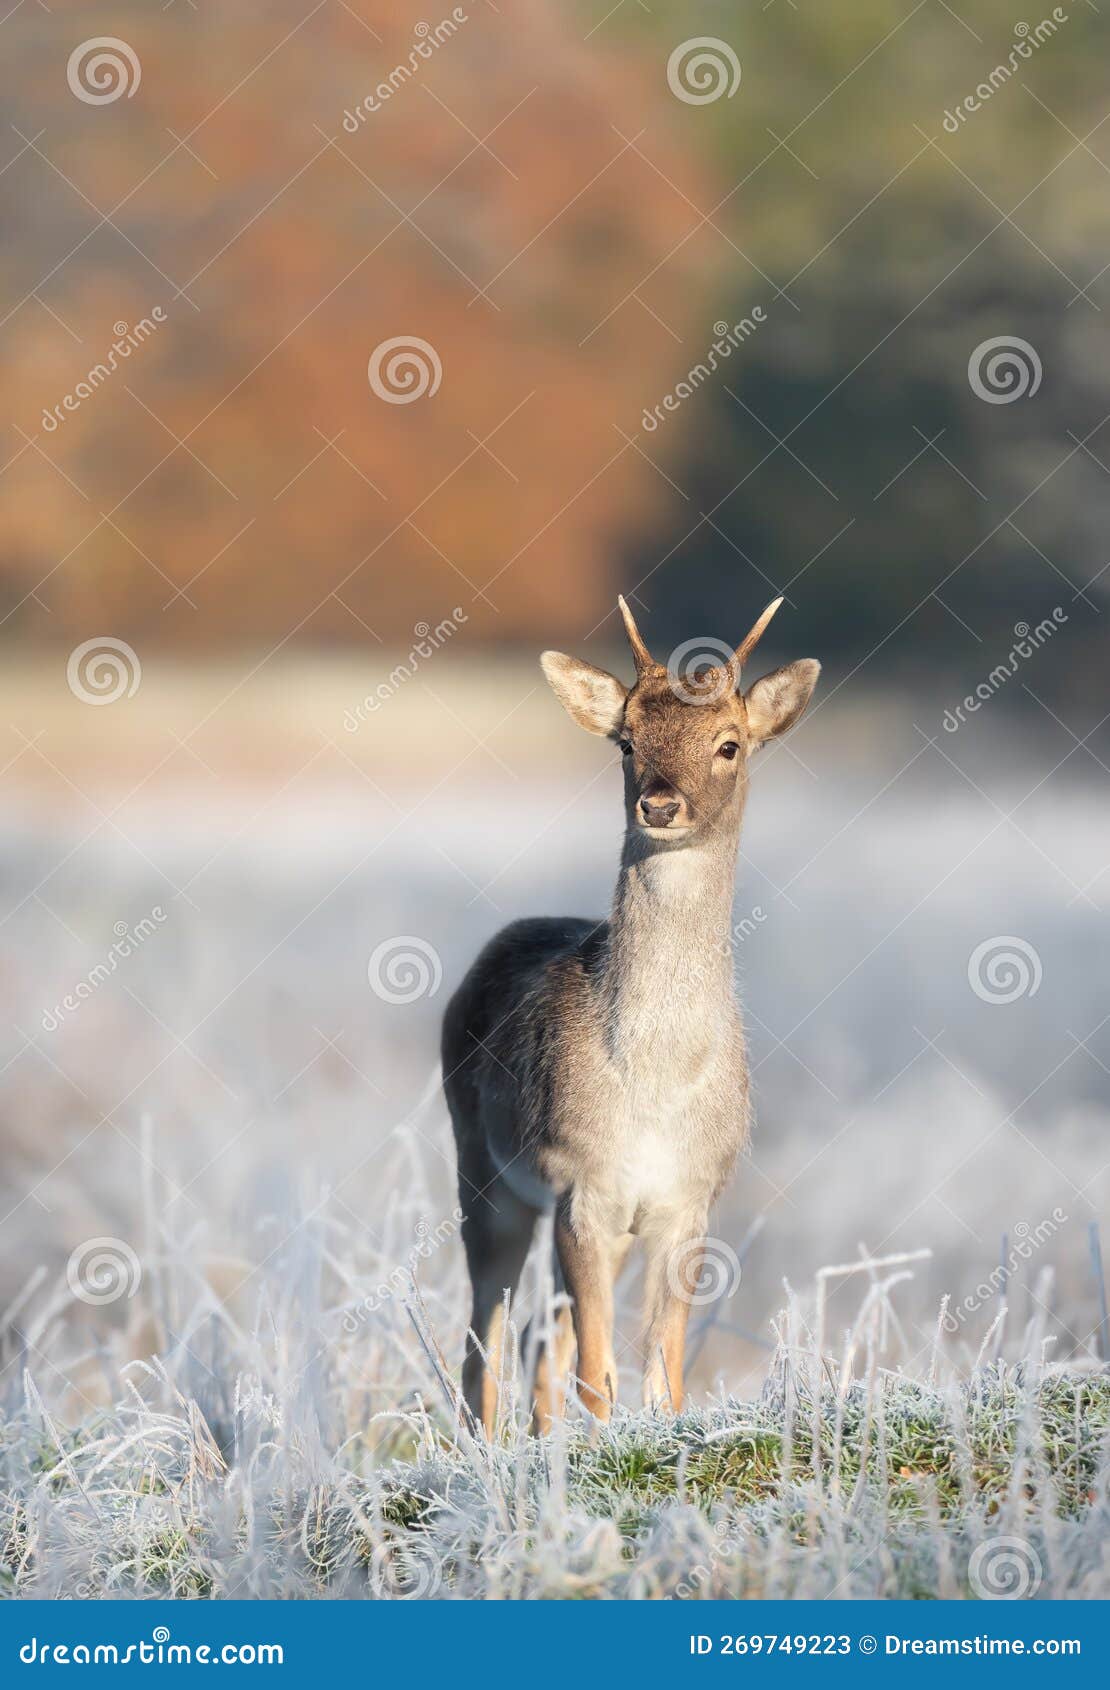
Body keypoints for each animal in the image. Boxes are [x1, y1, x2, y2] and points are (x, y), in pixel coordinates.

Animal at [441, 596, 819, 1435]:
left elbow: (662, 1376)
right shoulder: (582, 1183)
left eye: (729, 744)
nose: (660, 802)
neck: (655, 1082)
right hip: (484, 1171)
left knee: (534, 1339)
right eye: (626, 741)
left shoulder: (690, 1198)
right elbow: (596, 1377)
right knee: (484, 1341)